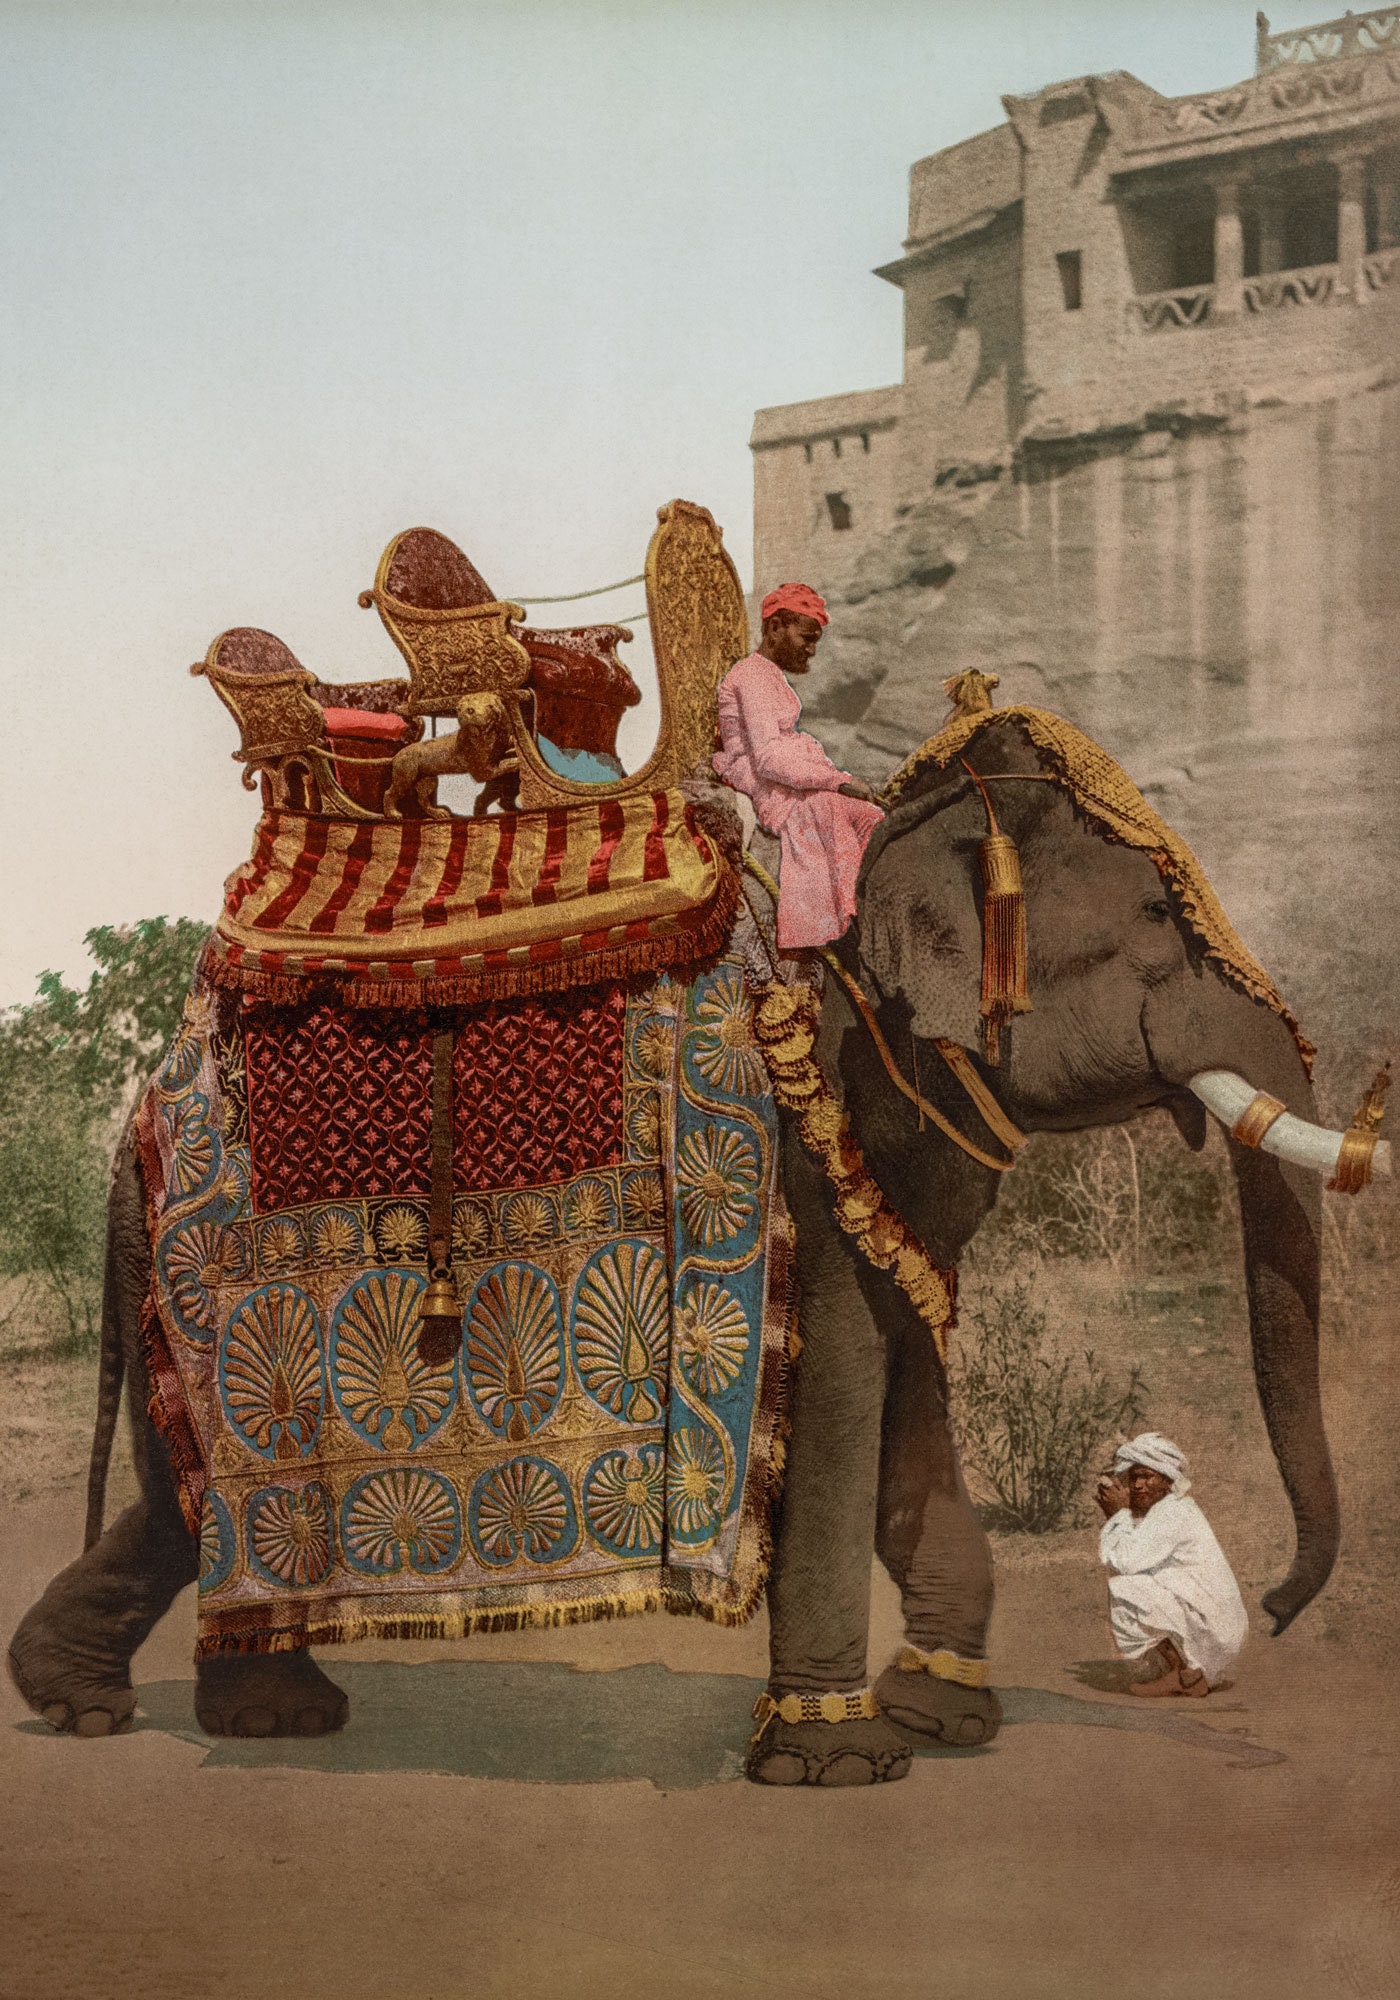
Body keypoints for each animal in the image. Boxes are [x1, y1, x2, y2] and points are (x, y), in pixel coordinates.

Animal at [9, 711, 1361, 1786]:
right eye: (1154, 916)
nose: (1277, 1608)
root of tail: (142, 1098)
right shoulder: (804, 1147)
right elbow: (839, 1396)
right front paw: (837, 1761)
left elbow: (909, 1392)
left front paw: (942, 1718)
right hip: (192, 1258)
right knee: (198, 1488)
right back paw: (149, 1710)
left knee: (179, 1495)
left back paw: (168, 1707)